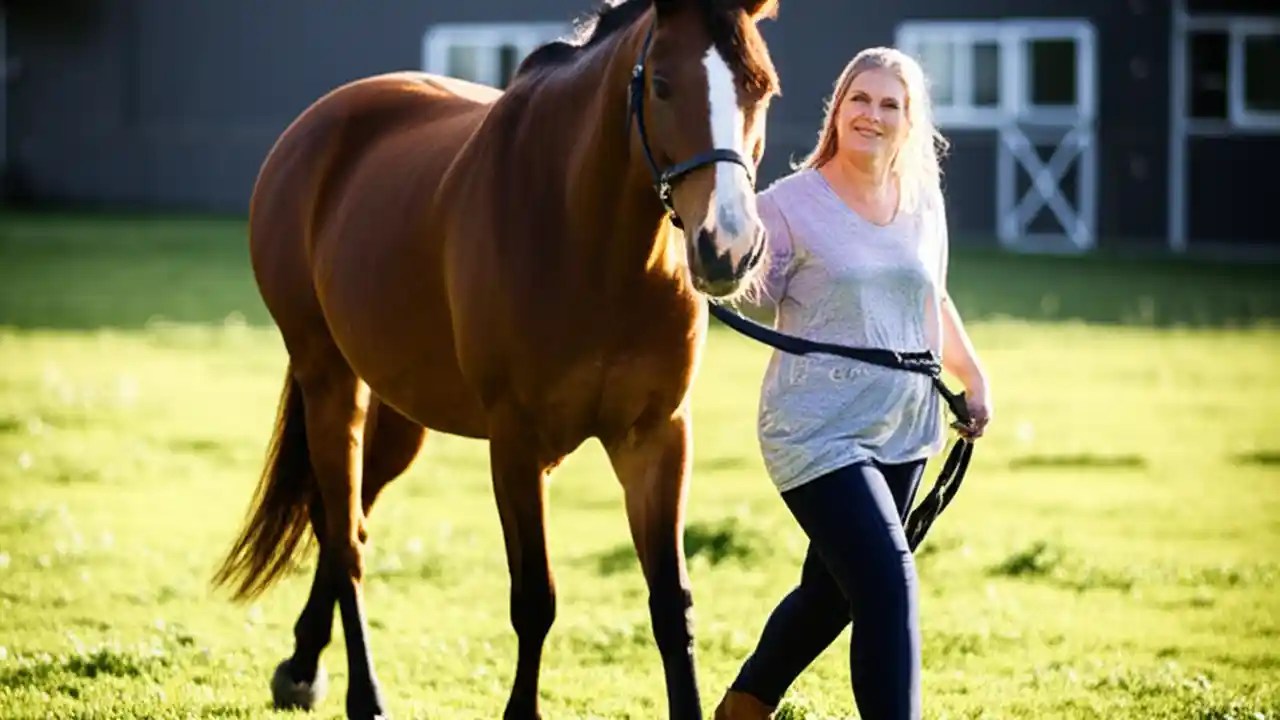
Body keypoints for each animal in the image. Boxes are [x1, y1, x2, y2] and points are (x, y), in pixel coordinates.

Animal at [210, 0, 782, 717]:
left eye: (762, 89)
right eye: (661, 84)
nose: (728, 248)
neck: (589, 241)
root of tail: (311, 131)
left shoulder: (656, 438)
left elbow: (669, 602)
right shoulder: (515, 444)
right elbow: (535, 599)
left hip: (400, 413)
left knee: (347, 520)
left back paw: (302, 666)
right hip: (329, 381)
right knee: (343, 536)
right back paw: (363, 695)